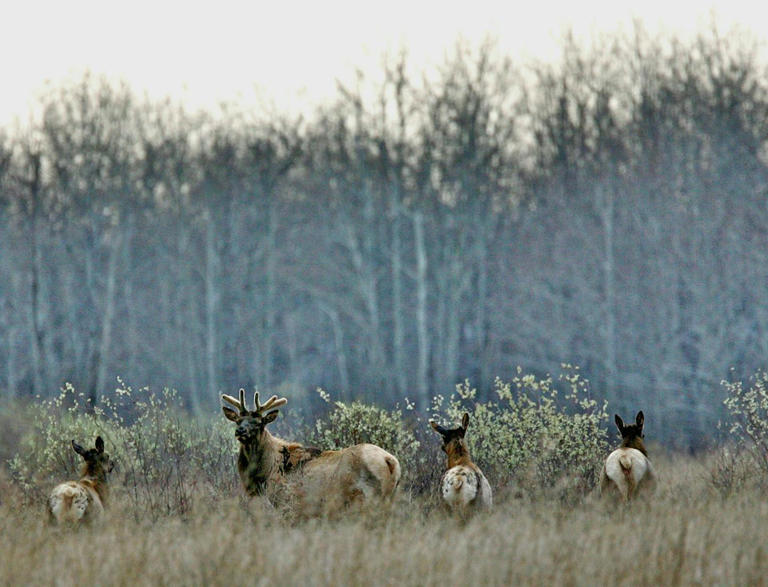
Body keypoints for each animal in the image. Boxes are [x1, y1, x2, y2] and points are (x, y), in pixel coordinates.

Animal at [221, 389, 401, 516]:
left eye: (259, 423)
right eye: (238, 420)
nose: (240, 430)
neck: (264, 472)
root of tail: (390, 461)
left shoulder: (287, 500)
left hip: (369, 497)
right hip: (388, 498)